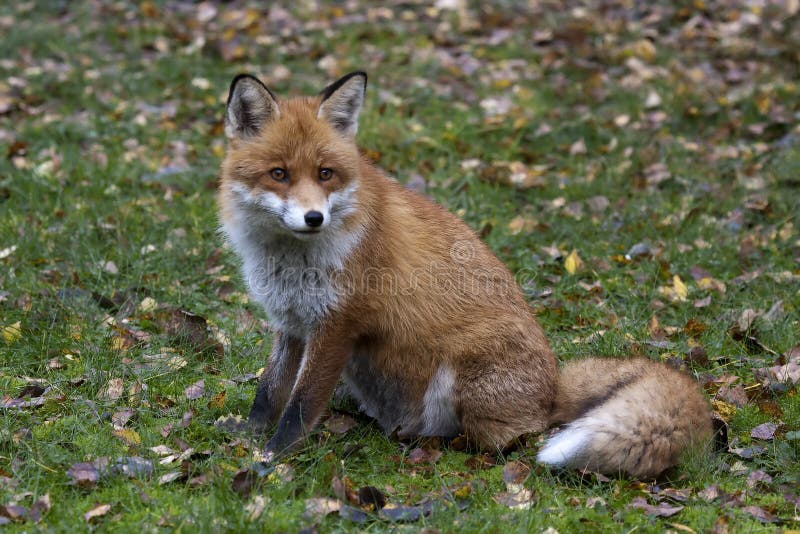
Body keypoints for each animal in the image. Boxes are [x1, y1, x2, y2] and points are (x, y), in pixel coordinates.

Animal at [216, 71, 713, 478]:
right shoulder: (291, 323)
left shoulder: (336, 326)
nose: (314, 218)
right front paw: (247, 434)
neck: (292, 262)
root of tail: (553, 386)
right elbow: (270, 390)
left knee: (512, 438)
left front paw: (271, 458)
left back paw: (431, 441)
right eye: (279, 174)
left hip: (461, 373)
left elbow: (300, 405)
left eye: (325, 174)